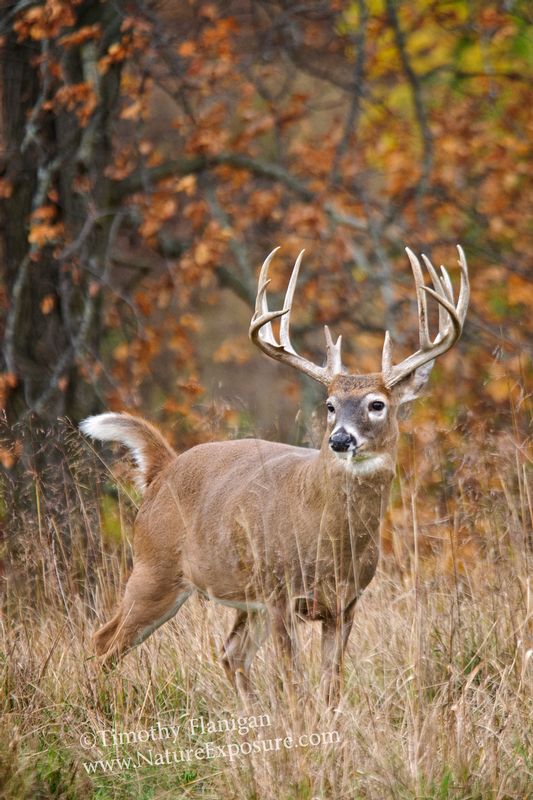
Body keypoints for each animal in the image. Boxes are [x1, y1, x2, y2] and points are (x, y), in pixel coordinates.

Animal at [80, 244, 469, 705]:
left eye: (377, 404)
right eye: (330, 405)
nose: (340, 440)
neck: (329, 542)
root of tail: (164, 467)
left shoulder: (346, 603)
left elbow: (331, 684)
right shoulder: (281, 593)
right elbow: (295, 681)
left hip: (242, 598)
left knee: (230, 652)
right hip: (154, 566)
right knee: (104, 641)